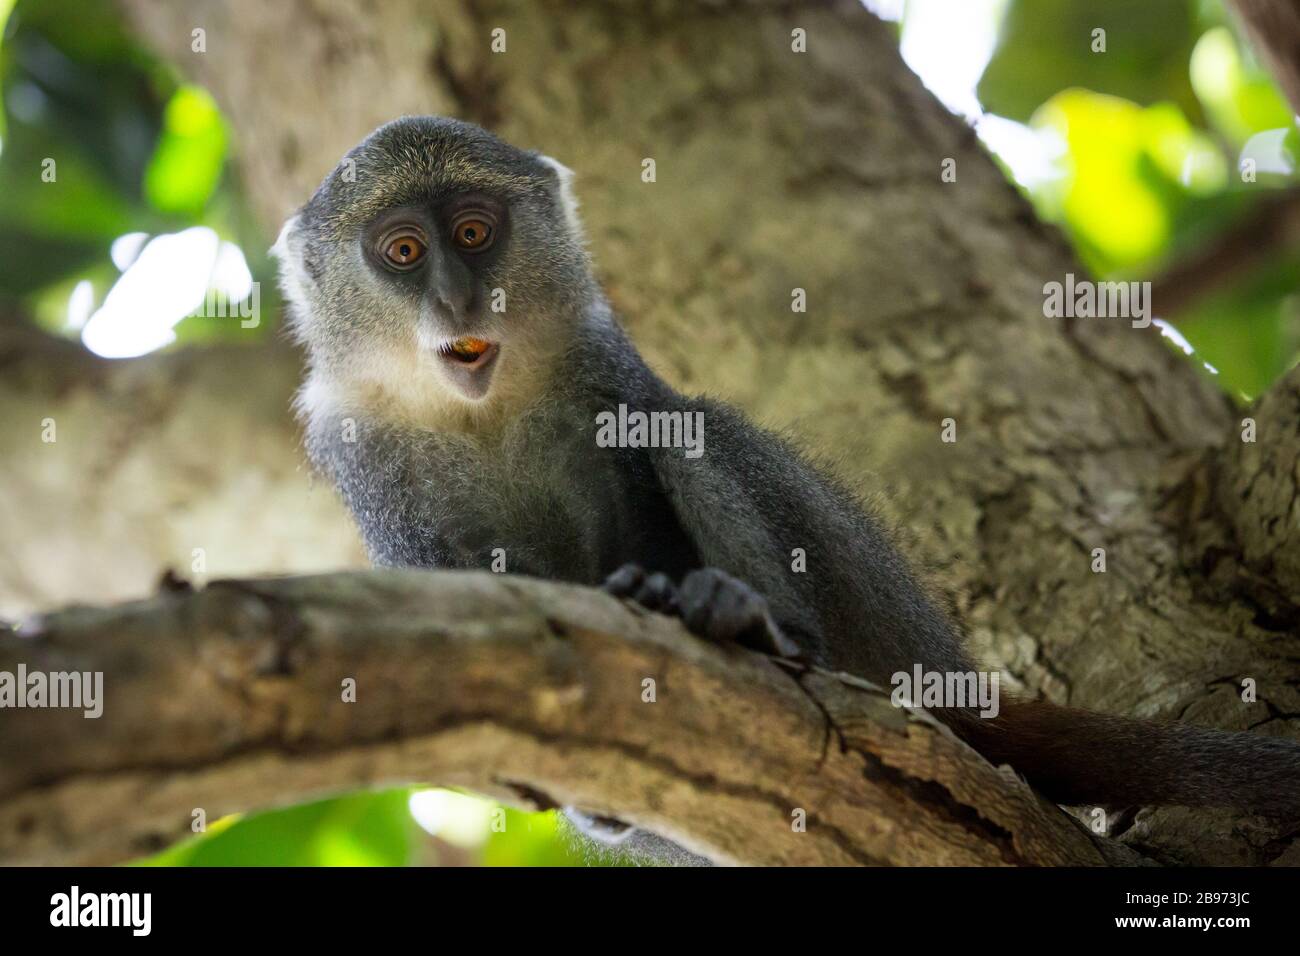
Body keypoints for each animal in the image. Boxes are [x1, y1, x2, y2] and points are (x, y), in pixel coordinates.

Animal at [274, 115, 1300, 862]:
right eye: (404, 252)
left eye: (475, 232)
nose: (459, 298)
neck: (479, 406)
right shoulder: (359, 451)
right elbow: (451, 577)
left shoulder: (600, 364)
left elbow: (646, 463)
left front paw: (669, 591)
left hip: (864, 592)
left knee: (700, 430)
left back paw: (762, 628)